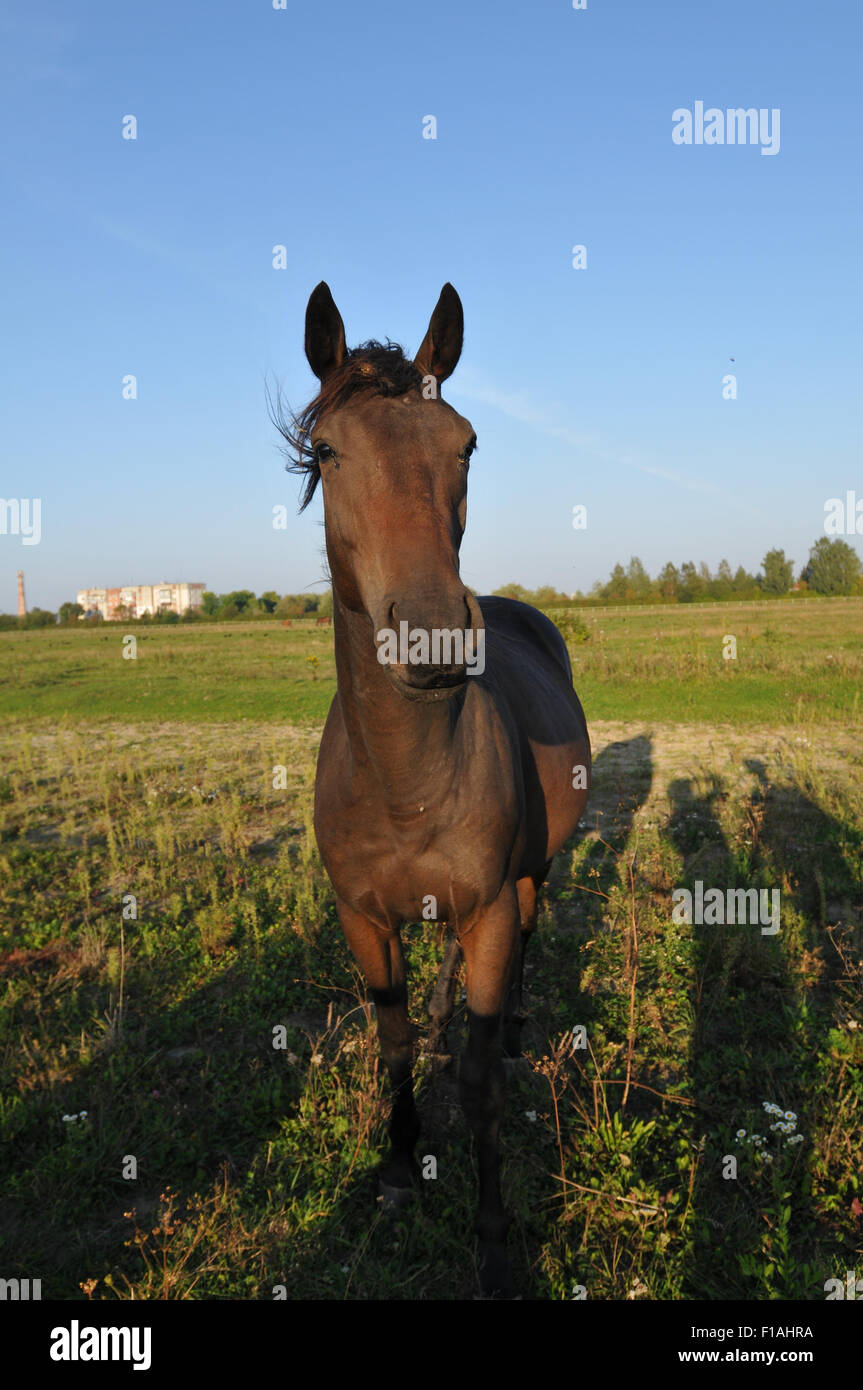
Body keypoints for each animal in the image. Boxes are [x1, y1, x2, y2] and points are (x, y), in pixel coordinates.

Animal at [278, 281, 591, 1296]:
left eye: (467, 443)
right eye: (328, 452)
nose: (432, 638)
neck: (405, 781)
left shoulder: (485, 904)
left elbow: (482, 1084)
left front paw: (492, 1242)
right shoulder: (362, 920)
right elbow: (395, 1043)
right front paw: (394, 1168)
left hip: (530, 874)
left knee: (525, 933)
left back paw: (518, 1024)